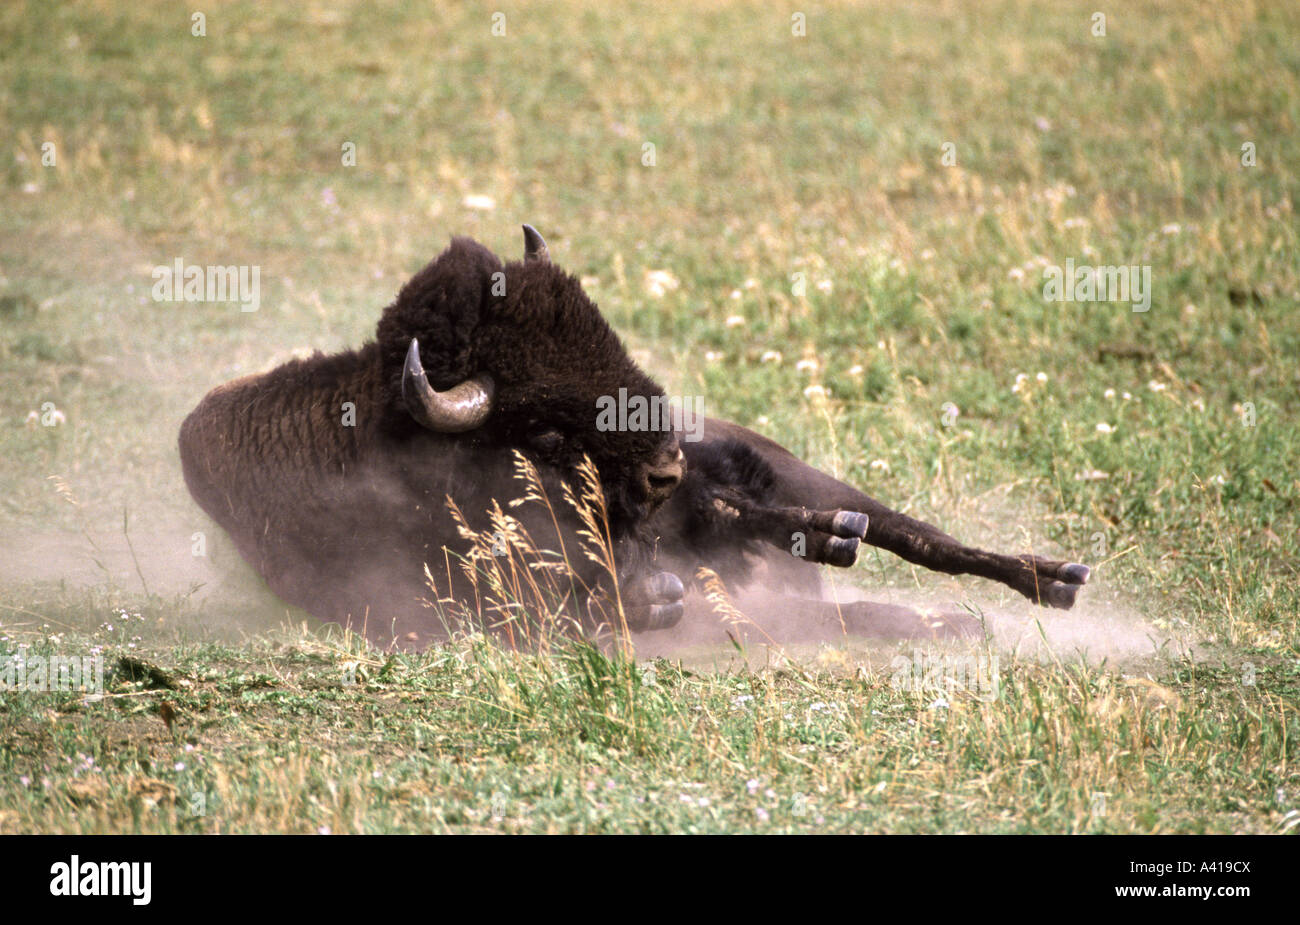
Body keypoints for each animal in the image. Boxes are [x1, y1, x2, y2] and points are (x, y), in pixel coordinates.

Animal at [179, 226, 1090, 646]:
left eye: (615, 346)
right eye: (546, 431)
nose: (667, 467)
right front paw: (656, 593)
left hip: (790, 468)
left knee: (909, 532)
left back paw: (1046, 579)